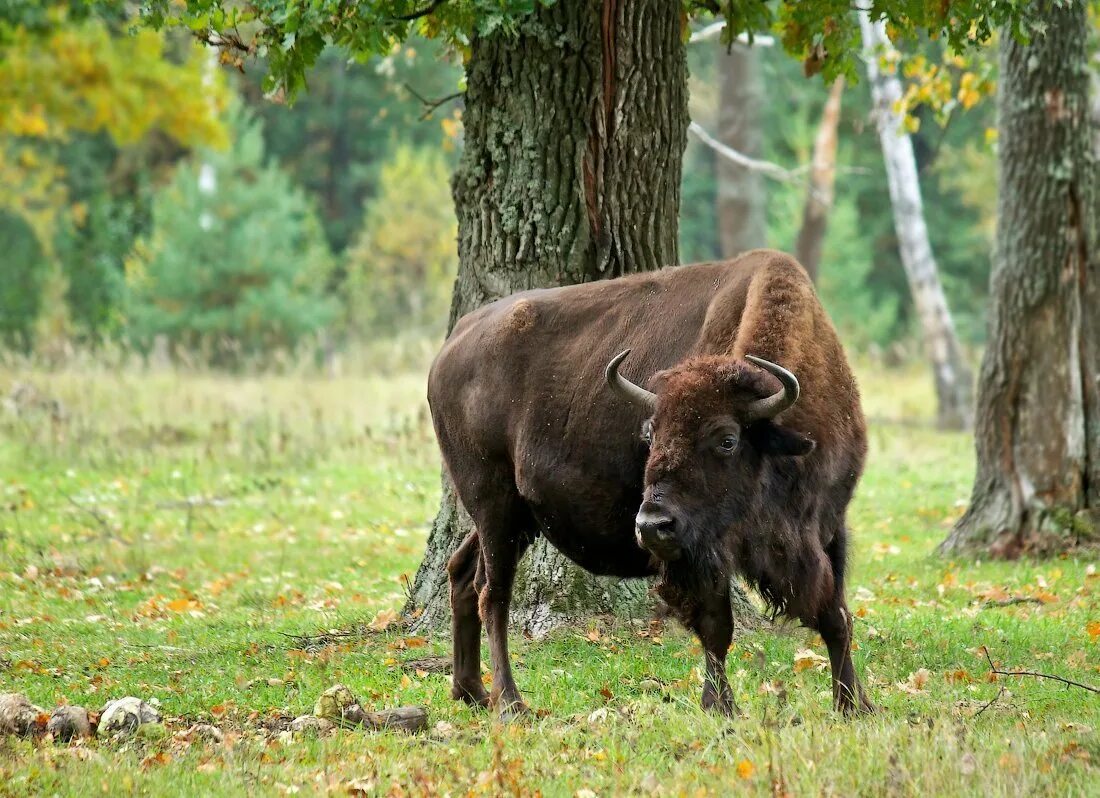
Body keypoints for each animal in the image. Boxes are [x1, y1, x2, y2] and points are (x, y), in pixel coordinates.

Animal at [429, 248, 875, 717]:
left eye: (727, 439)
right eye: (650, 435)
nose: (650, 526)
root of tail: (449, 350)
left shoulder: (828, 525)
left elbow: (836, 616)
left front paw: (854, 704)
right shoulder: (700, 551)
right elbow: (717, 625)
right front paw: (720, 706)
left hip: (515, 517)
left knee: (462, 573)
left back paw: (472, 692)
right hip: (493, 504)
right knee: (492, 594)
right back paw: (509, 702)